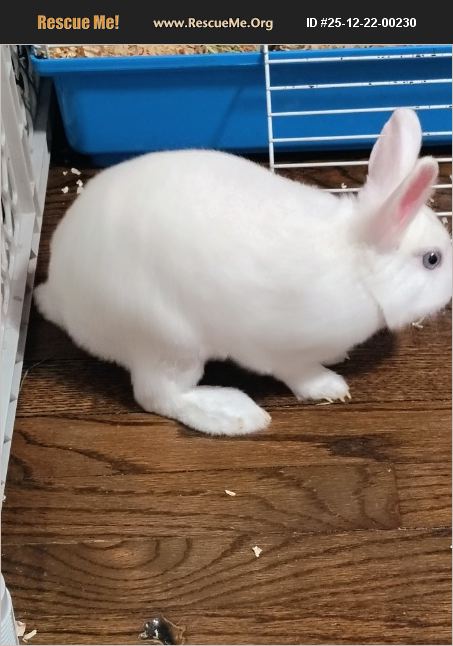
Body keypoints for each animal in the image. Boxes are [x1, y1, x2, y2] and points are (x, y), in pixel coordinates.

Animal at [34, 108, 452, 436]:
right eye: (433, 259)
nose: (450, 289)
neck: (358, 264)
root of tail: (60, 294)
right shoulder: (280, 348)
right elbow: (298, 371)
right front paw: (329, 387)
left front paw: (338, 357)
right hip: (167, 340)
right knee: (160, 396)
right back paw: (236, 415)